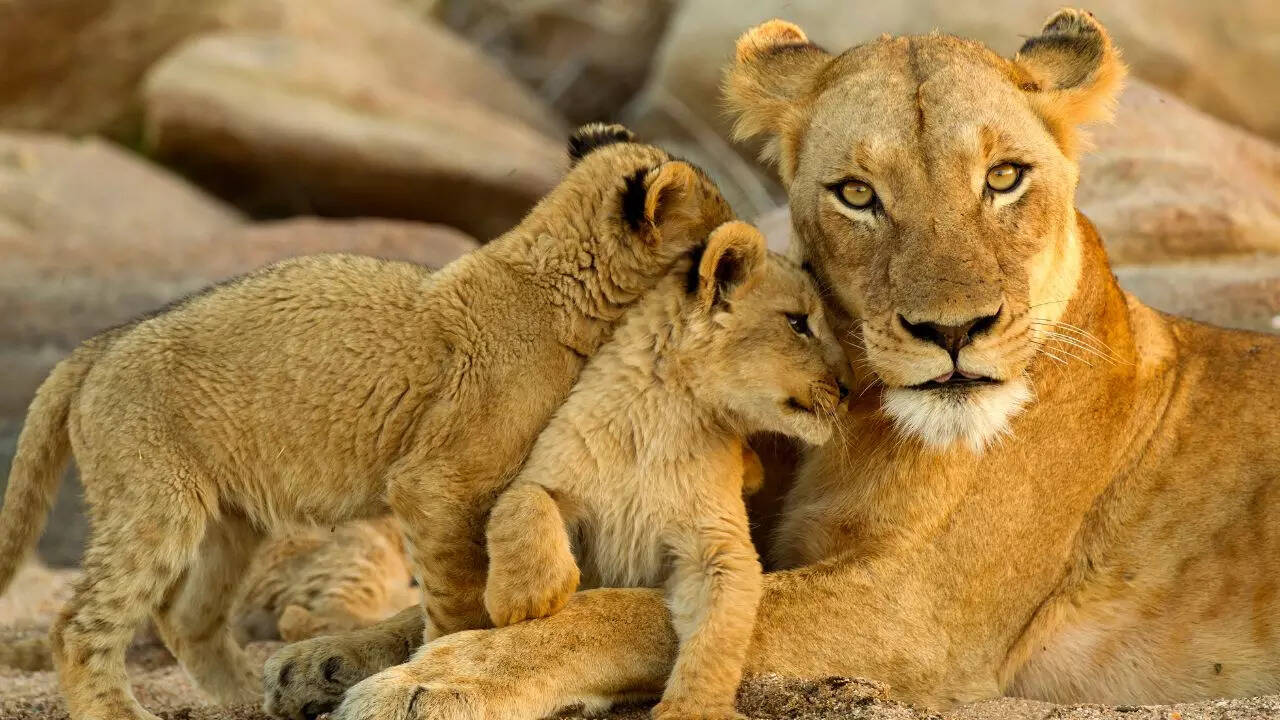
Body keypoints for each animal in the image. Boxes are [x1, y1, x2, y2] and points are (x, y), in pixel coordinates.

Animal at [0, 123, 735, 720]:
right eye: (719, 222)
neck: (554, 284)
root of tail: (98, 345)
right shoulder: (438, 481)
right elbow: (458, 592)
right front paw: (446, 651)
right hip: (156, 501)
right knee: (79, 623)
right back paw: (122, 710)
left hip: (230, 520)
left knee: (186, 618)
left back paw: (245, 697)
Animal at [471, 222, 851, 720]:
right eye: (798, 323)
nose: (848, 388)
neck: (666, 416)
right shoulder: (549, 467)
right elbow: (520, 502)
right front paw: (528, 599)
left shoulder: (717, 542)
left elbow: (719, 633)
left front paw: (694, 710)